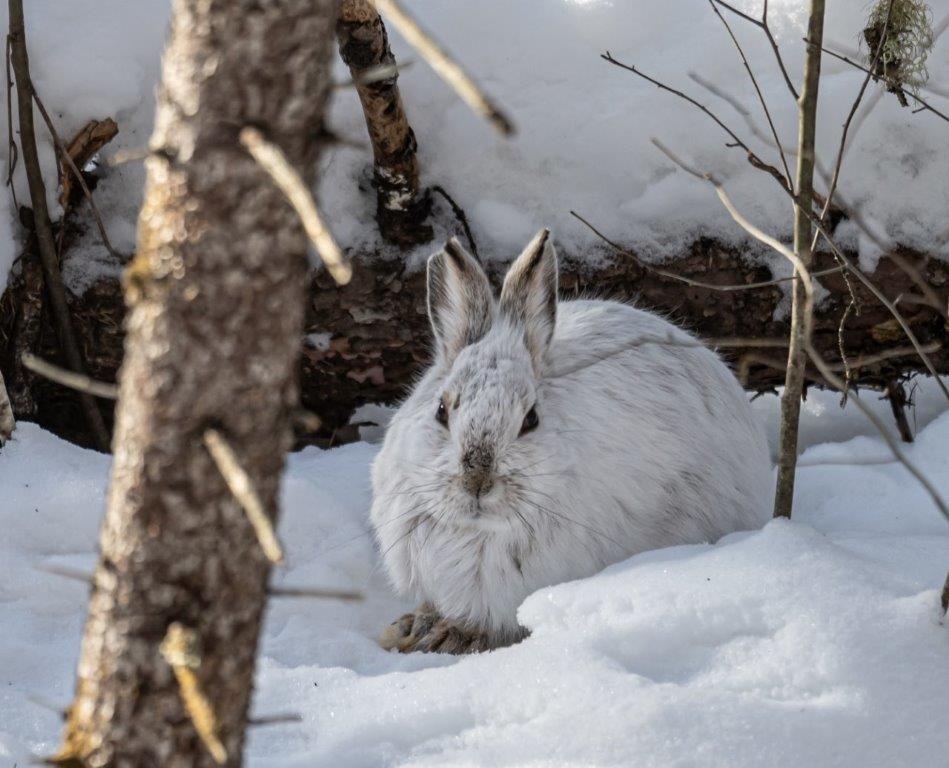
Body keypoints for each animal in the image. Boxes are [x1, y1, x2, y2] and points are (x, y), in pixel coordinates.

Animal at [370, 229, 772, 654]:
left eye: (531, 419)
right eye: (441, 411)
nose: (476, 482)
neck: (480, 528)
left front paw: (449, 634)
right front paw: (411, 627)